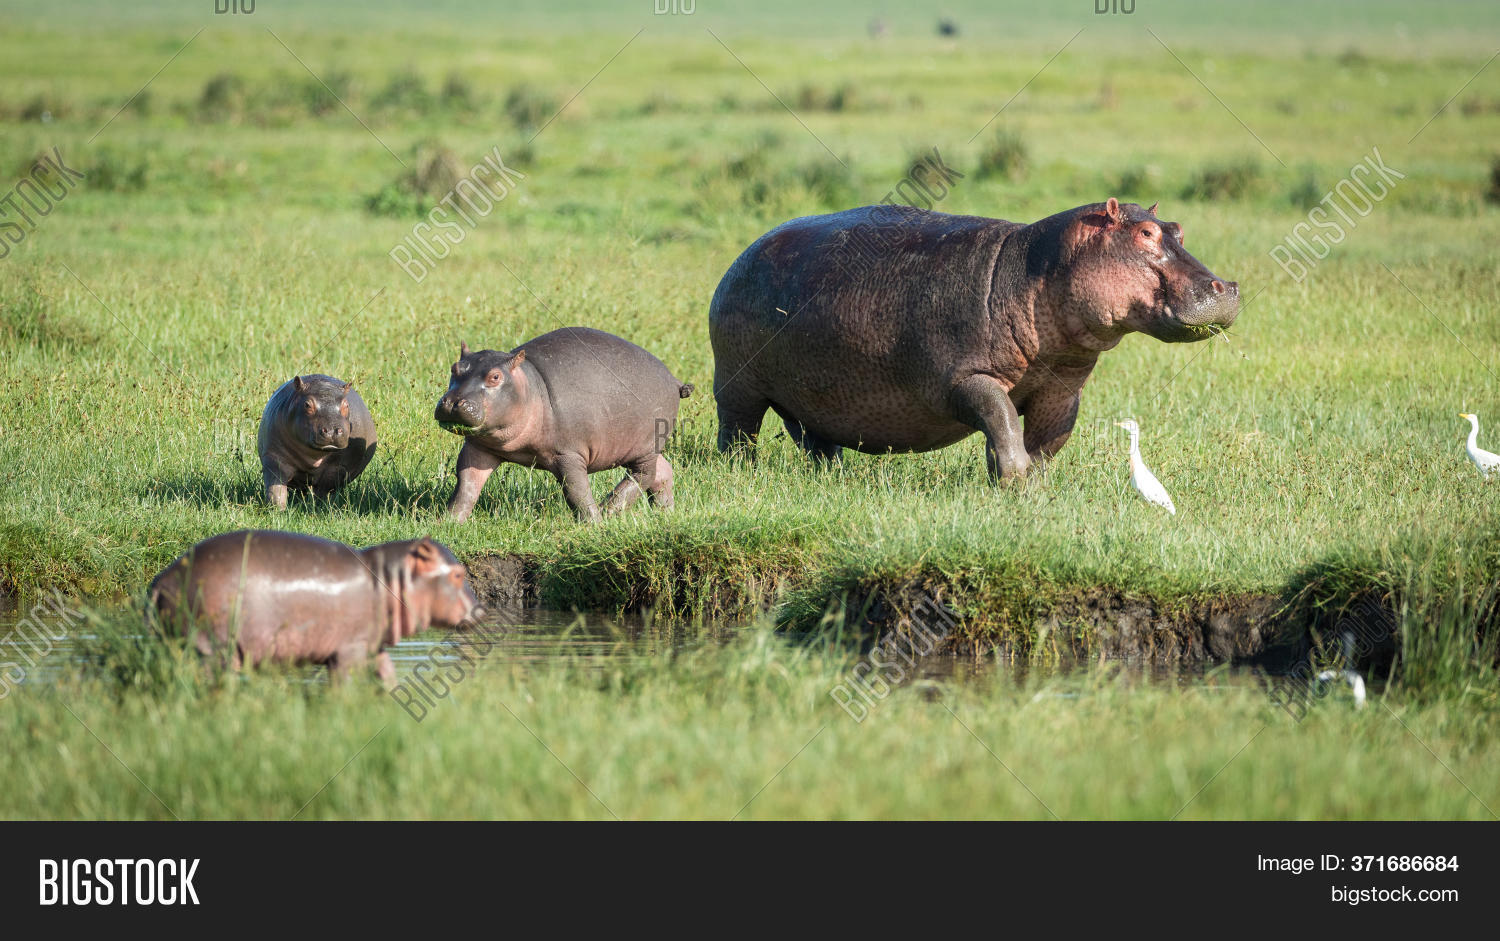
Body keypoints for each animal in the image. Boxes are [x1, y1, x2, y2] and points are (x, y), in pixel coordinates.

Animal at [148, 530, 480, 685]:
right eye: (458, 574)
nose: (480, 610)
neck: (392, 578)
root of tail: (162, 579)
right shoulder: (349, 648)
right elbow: (343, 683)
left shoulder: (372, 644)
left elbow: (385, 673)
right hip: (213, 644)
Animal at [258, 375, 377, 509]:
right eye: (307, 404)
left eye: (346, 405)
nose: (331, 430)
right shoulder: (274, 457)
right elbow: (275, 487)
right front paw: (277, 510)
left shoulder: (338, 467)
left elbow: (324, 490)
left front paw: (317, 507)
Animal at [434, 328, 694, 522]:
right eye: (454, 368)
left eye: (495, 377)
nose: (453, 402)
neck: (530, 386)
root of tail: (673, 379)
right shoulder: (479, 448)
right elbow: (467, 485)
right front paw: (448, 522)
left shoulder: (567, 454)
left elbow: (576, 491)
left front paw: (594, 523)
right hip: (641, 448)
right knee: (663, 473)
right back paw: (665, 514)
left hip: (647, 446)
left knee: (643, 475)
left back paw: (609, 510)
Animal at [708, 198, 1239, 479]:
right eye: (1146, 232)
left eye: (1178, 228)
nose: (1227, 286)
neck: (1037, 267)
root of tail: (745, 251)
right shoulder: (965, 379)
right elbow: (999, 415)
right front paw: (1017, 479)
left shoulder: (1061, 391)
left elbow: (1047, 439)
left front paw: (1028, 483)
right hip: (737, 383)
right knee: (737, 429)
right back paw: (738, 470)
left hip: (811, 395)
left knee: (815, 438)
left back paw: (832, 476)